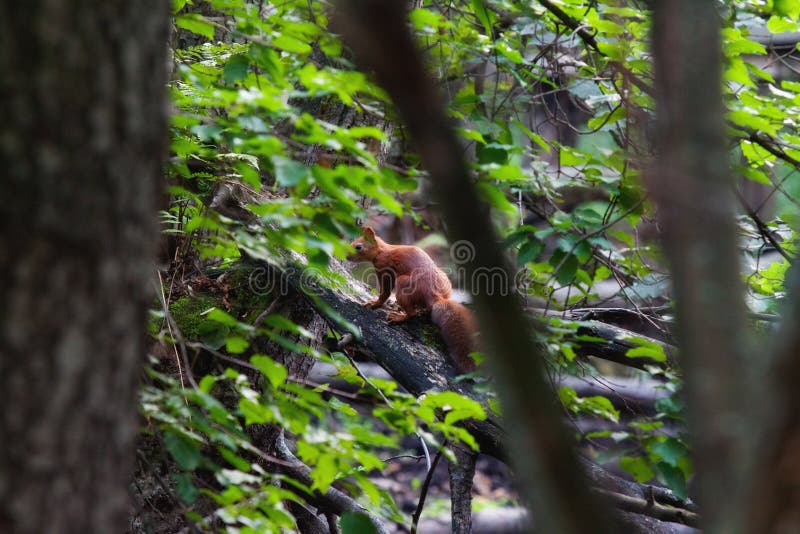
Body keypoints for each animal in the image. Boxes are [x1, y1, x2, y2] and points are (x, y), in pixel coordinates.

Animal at [348, 226, 478, 373]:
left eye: (358, 246)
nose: (346, 256)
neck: (382, 250)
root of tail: (434, 296)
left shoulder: (383, 267)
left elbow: (385, 292)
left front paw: (375, 303)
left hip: (403, 283)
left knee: (412, 313)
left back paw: (400, 316)